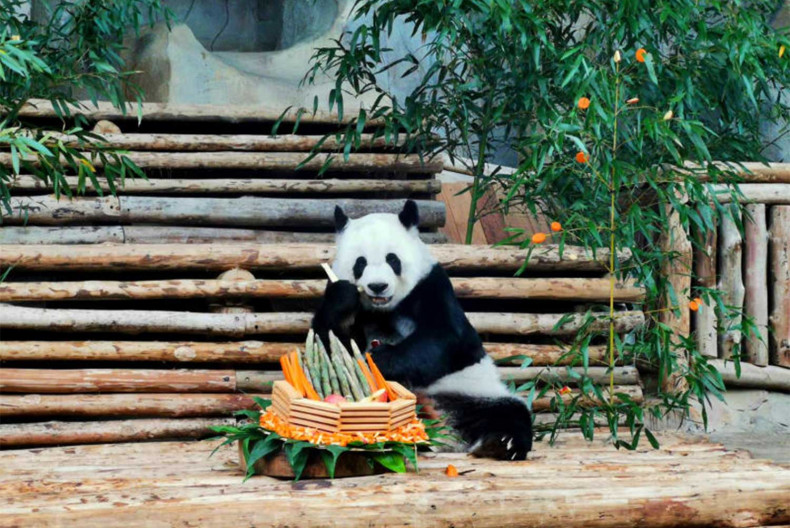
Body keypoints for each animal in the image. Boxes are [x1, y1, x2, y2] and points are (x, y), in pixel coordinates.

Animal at [312, 199, 532, 460]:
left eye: (392, 259)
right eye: (360, 262)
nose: (378, 286)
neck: (384, 308)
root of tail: (446, 433)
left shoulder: (431, 286)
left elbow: (443, 339)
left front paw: (378, 360)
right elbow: (330, 346)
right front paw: (343, 301)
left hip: (474, 391)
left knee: (510, 412)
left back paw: (501, 443)